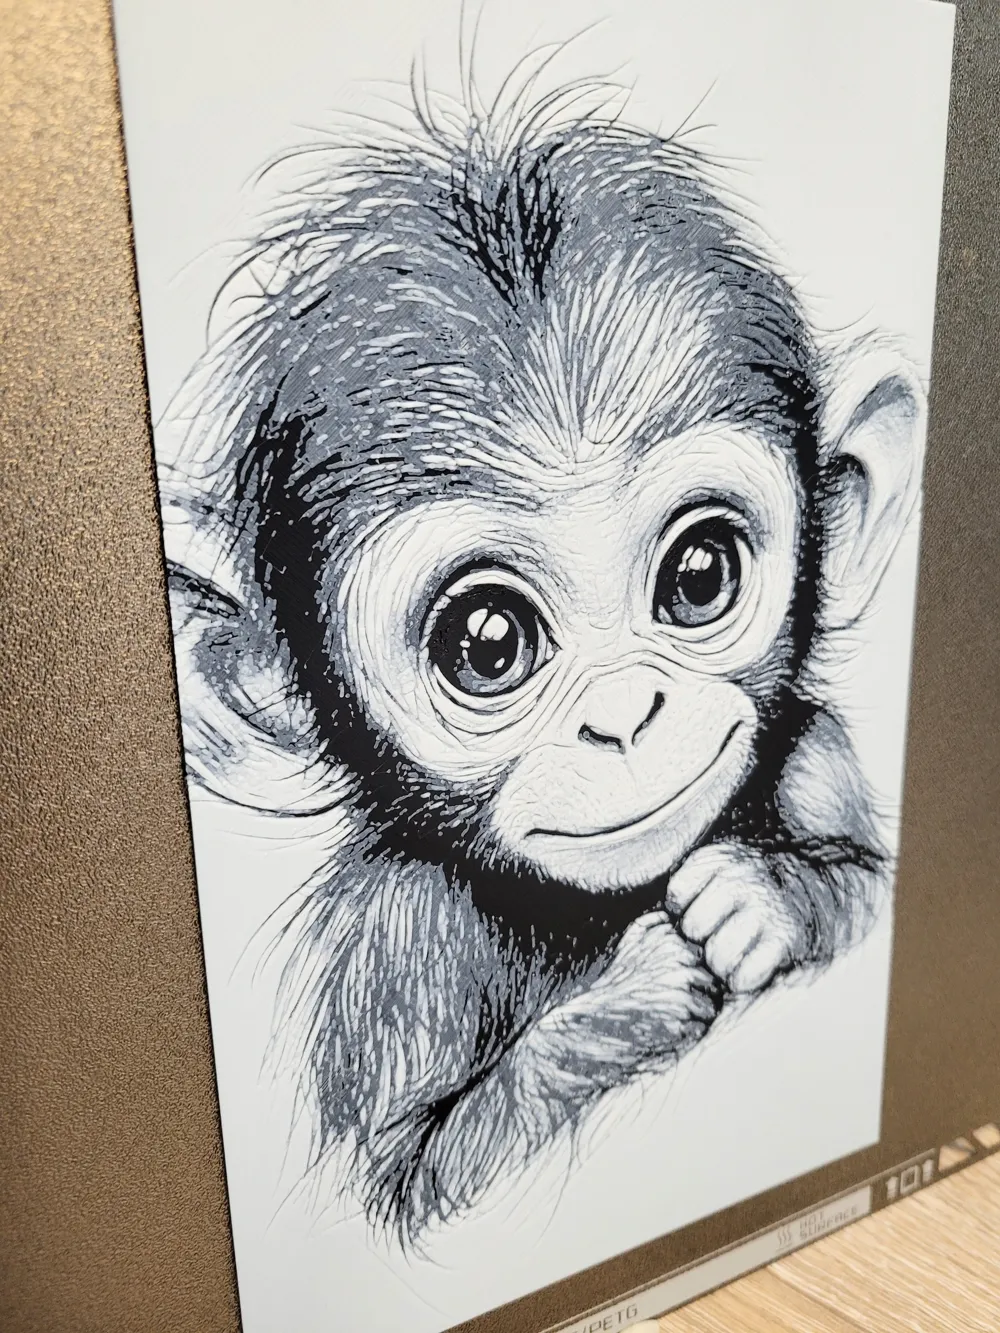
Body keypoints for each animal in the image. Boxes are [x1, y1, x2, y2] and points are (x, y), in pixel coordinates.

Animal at [161, 75, 925, 1245]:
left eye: (699, 572)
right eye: (487, 643)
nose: (623, 712)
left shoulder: (814, 746)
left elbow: (875, 887)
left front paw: (761, 898)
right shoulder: (399, 949)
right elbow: (416, 1182)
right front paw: (643, 988)